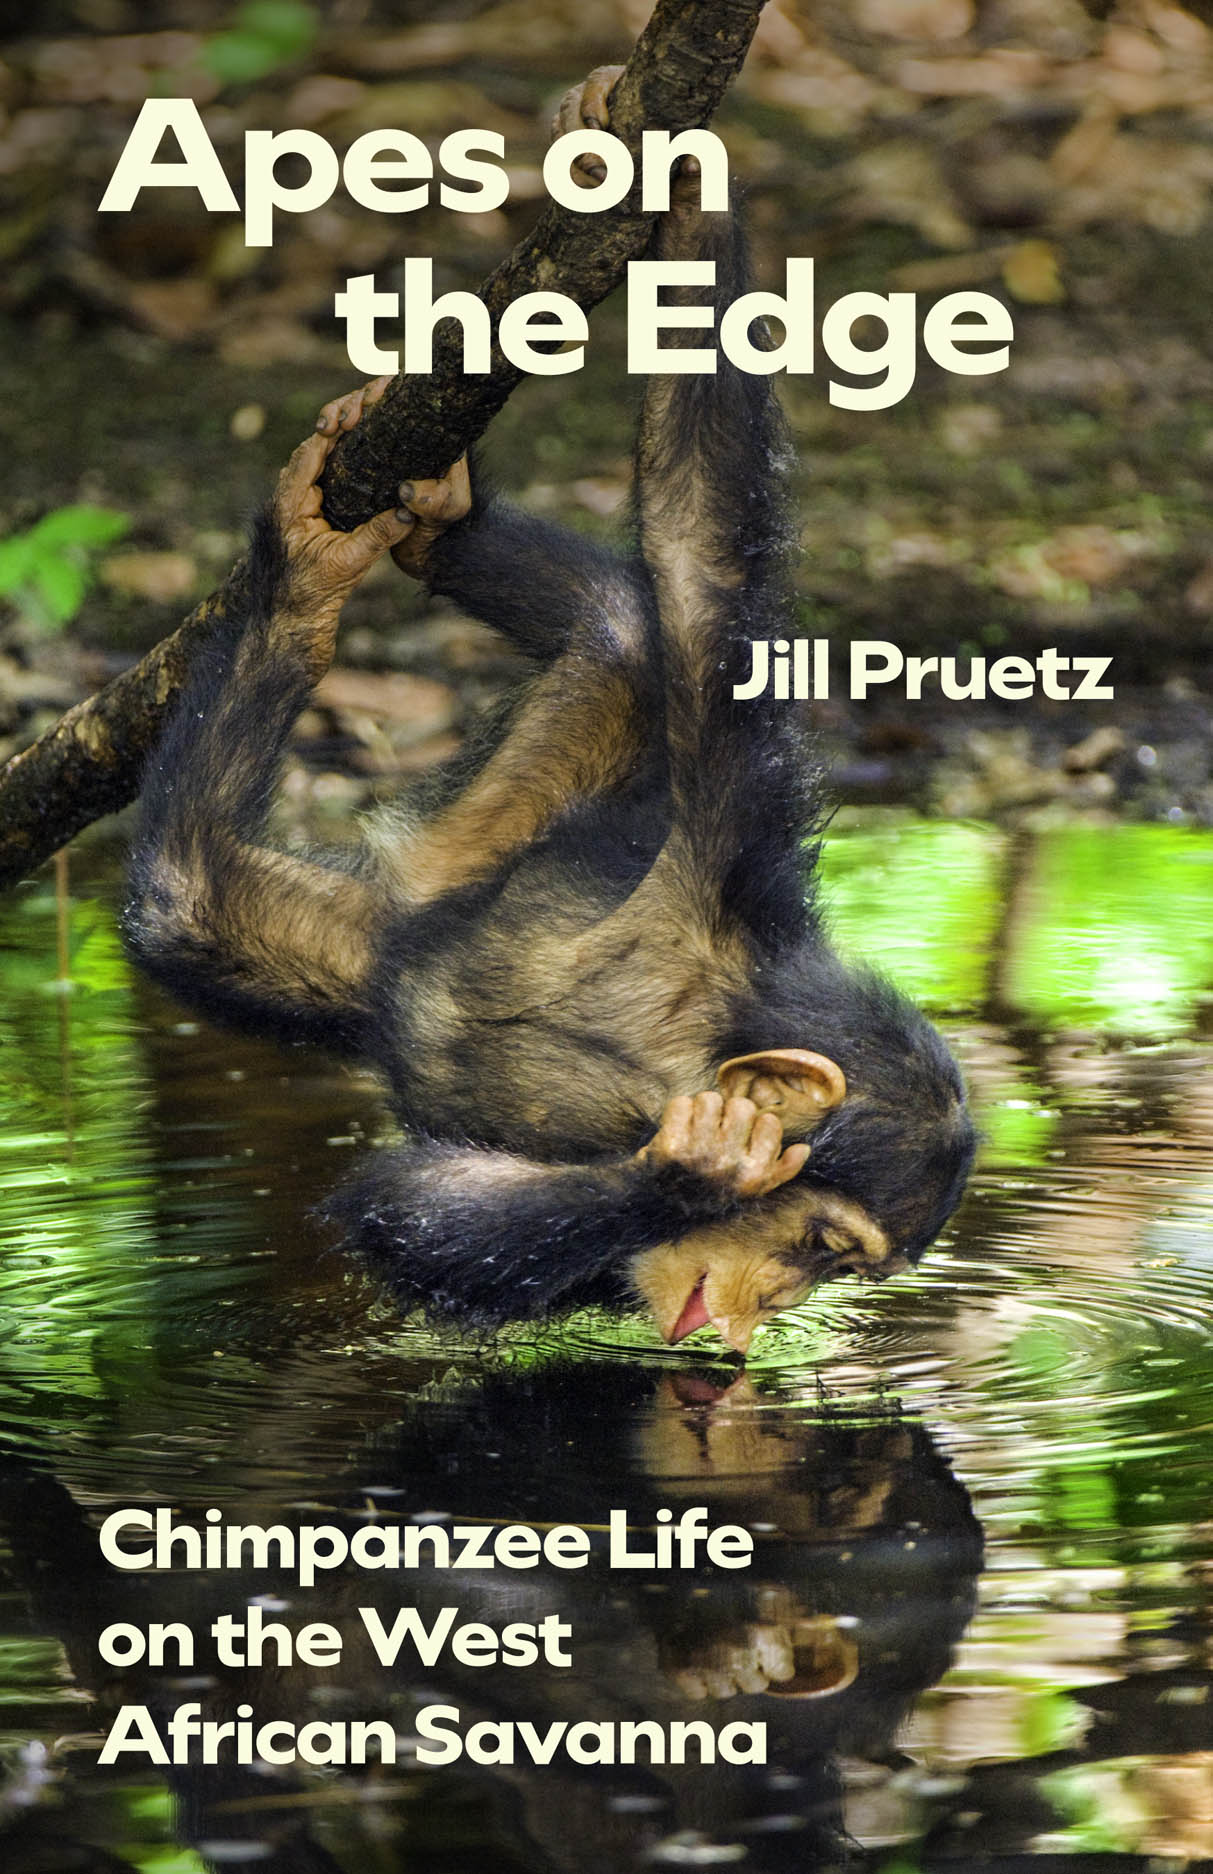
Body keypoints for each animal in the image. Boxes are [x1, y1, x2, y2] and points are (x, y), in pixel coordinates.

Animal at [125, 70, 976, 1355]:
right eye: (826, 1245)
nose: (779, 1302)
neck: (680, 1044)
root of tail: (419, 904)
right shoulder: (729, 832)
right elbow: (700, 553)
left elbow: (423, 1203)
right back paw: (308, 571)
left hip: (389, 904)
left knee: (612, 628)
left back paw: (421, 529)